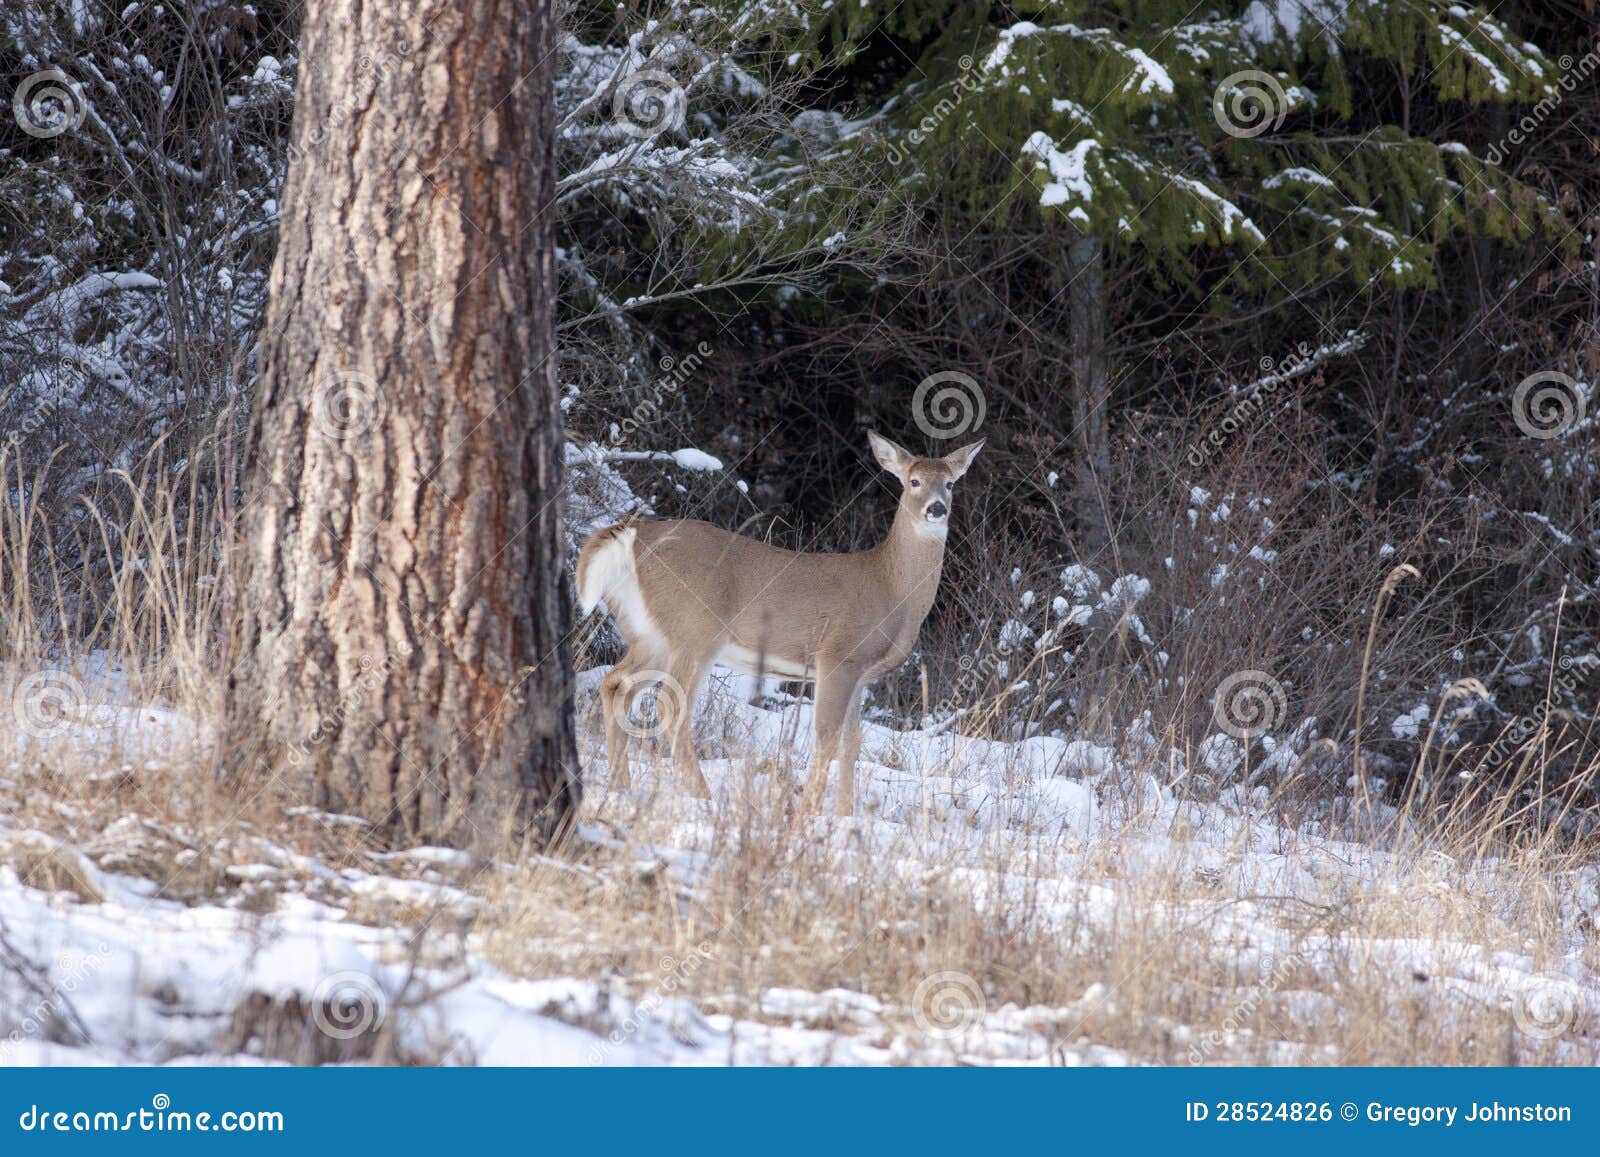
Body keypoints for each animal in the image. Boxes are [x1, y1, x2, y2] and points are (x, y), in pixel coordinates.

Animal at [576, 431, 983, 815]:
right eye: (913, 481)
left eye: (950, 483)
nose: (936, 508)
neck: (892, 588)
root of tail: (630, 537)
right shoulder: (837, 656)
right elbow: (826, 737)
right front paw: (809, 811)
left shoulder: (861, 674)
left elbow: (852, 744)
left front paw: (844, 814)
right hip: (695, 630)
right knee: (670, 708)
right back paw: (703, 797)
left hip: (649, 634)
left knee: (616, 684)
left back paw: (621, 785)